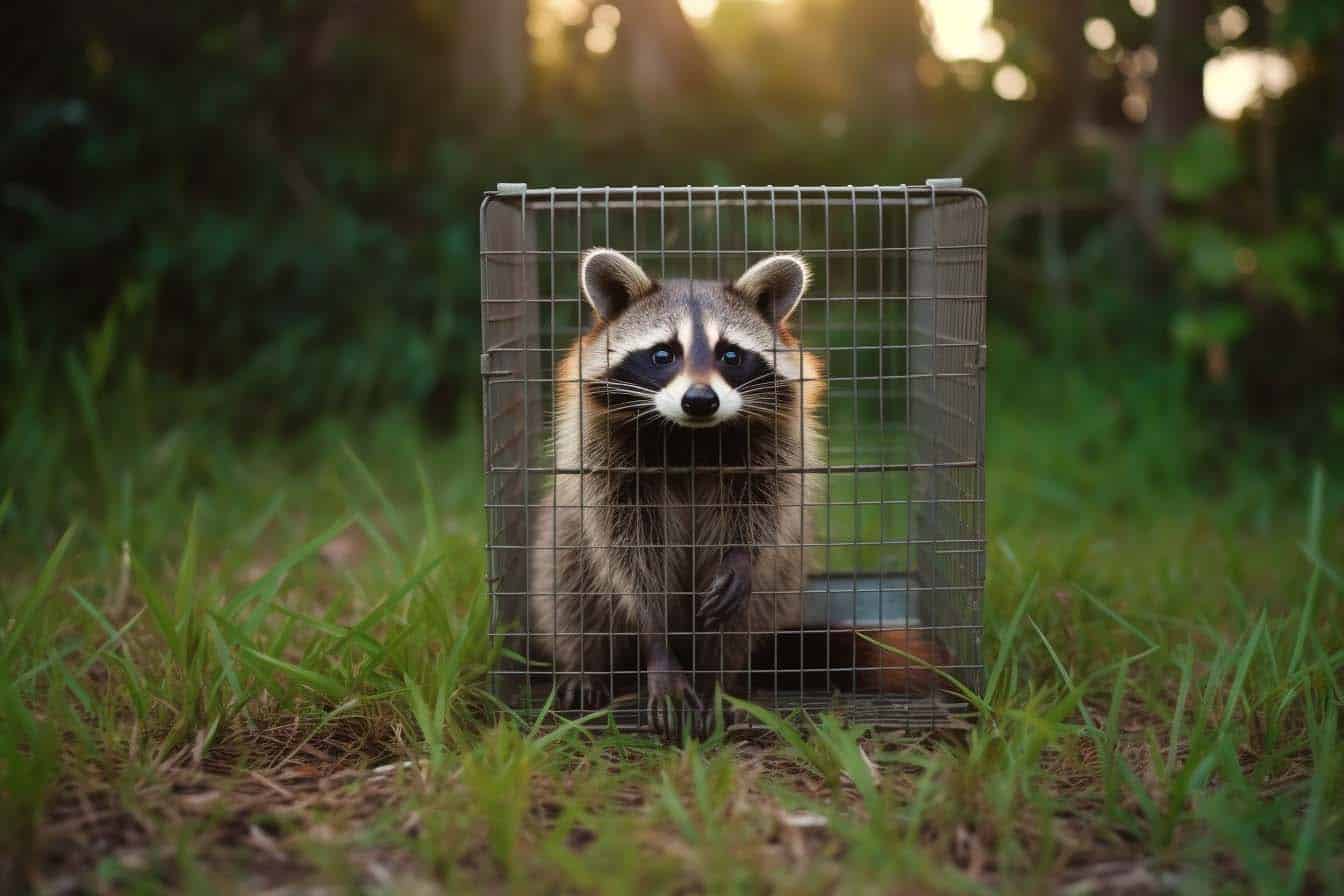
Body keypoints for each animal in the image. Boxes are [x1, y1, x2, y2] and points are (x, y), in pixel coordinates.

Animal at [528, 248, 825, 738]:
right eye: (663, 354)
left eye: (730, 354)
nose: (700, 400)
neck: (690, 436)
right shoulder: (603, 452)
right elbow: (629, 554)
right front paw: (659, 650)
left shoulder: (776, 439)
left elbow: (765, 505)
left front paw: (740, 558)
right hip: (562, 540)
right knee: (569, 589)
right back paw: (586, 668)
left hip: (782, 579)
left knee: (757, 602)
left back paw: (718, 678)